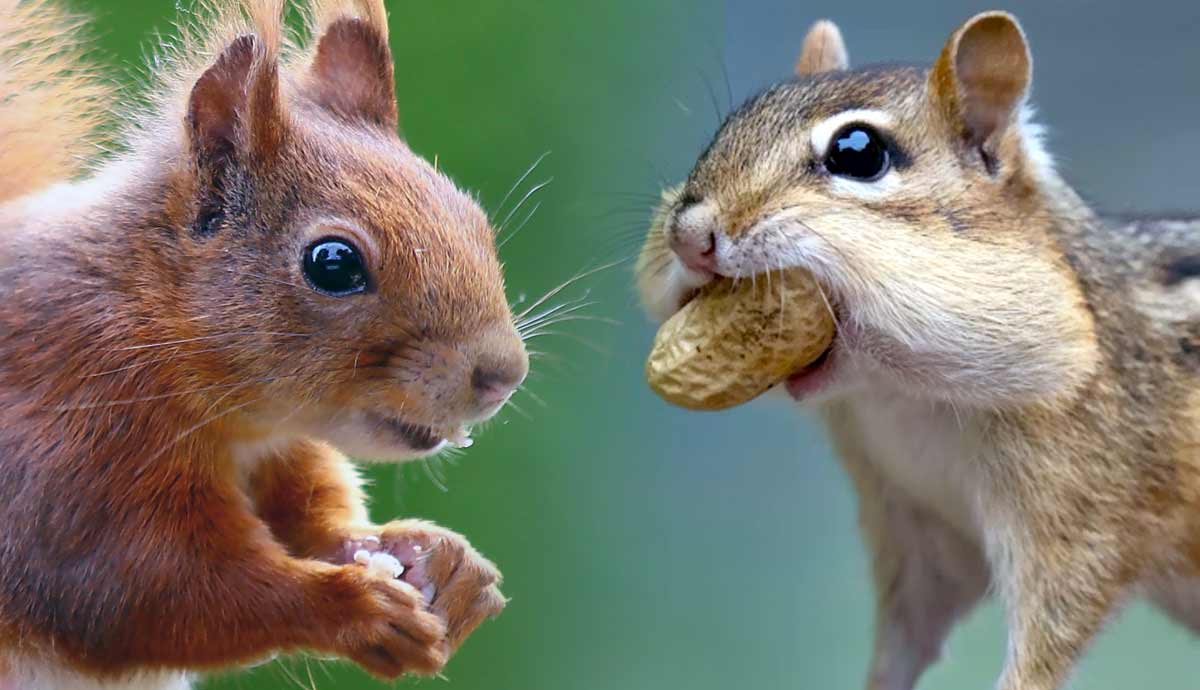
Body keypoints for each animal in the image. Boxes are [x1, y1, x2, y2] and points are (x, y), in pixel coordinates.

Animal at [0, 0, 528, 688]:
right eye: (333, 263)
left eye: (475, 220)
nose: (504, 375)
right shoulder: (68, 445)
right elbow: (140, 590)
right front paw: (352, 606)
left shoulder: (283, 451)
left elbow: (310, 516)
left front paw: (439, 560)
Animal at [637, 11, 1200, 690]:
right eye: (733, 121)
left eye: (858, 152)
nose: (688, 235)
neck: (905, 398)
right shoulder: (917, 527)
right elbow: (904, 641)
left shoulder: (1083, 522)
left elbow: (1048, 642)